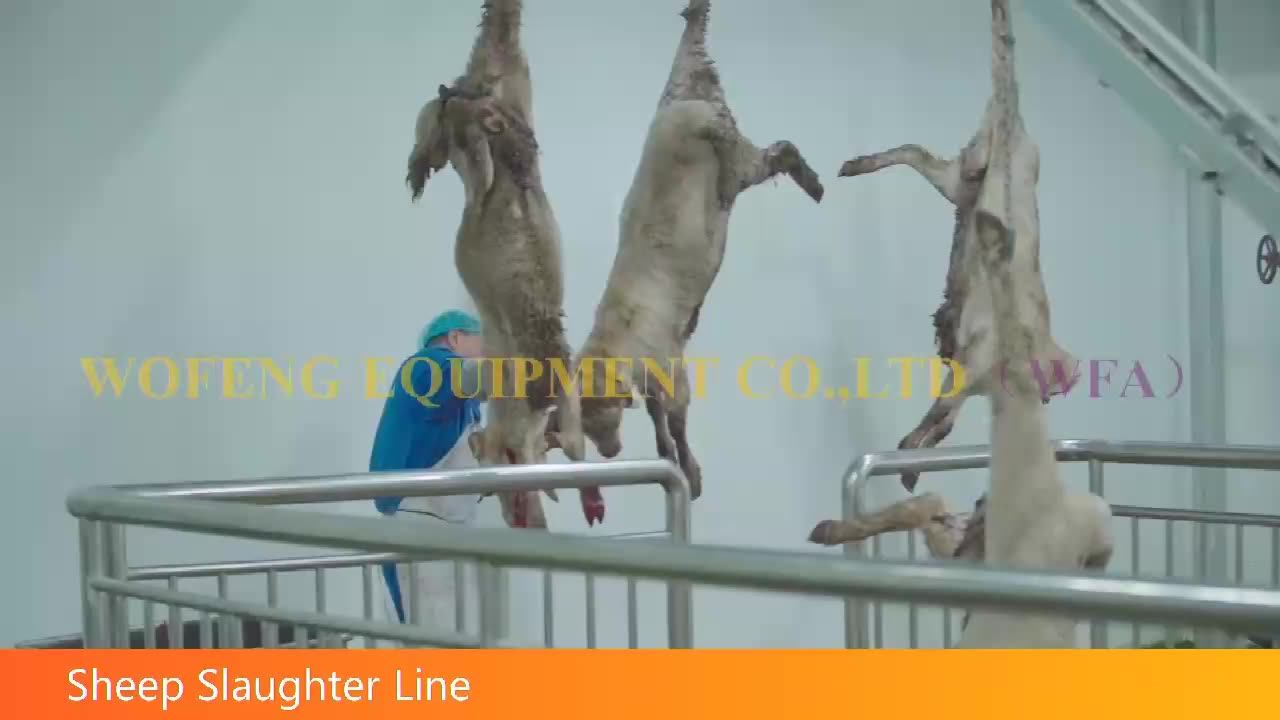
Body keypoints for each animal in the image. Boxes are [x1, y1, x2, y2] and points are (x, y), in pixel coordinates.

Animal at [573, 0, 824, 500]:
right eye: (585, 426)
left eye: (605, 413)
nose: (609, 453)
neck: (618, 335)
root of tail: (689, 102)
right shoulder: (652, 379)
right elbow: (658, 419)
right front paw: (669, 457)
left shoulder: (671, 365)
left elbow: (677, 417)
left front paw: (691, 474)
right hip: (697, 99)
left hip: (737, 159)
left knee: (778, 152)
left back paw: (815, 185)